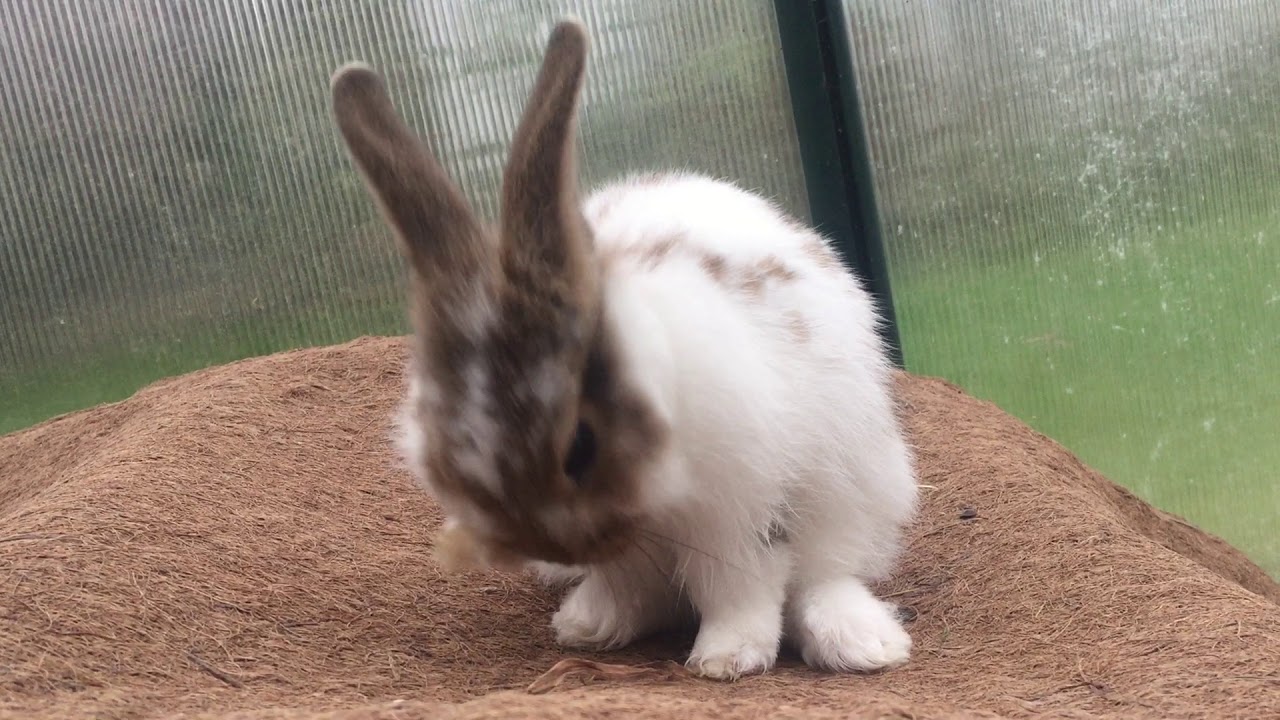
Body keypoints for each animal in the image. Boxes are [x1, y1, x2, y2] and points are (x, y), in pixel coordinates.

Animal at [329, 17, 918, 681]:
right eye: (451, 448)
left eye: (581, 445)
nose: (552, 545)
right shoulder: (632, 537)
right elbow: (628, 580)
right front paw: (593, 627)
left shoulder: (735, 507)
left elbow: (738, 584)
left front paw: (727, 658)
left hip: (861, 482)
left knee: (826, 573)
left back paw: (862, 642)